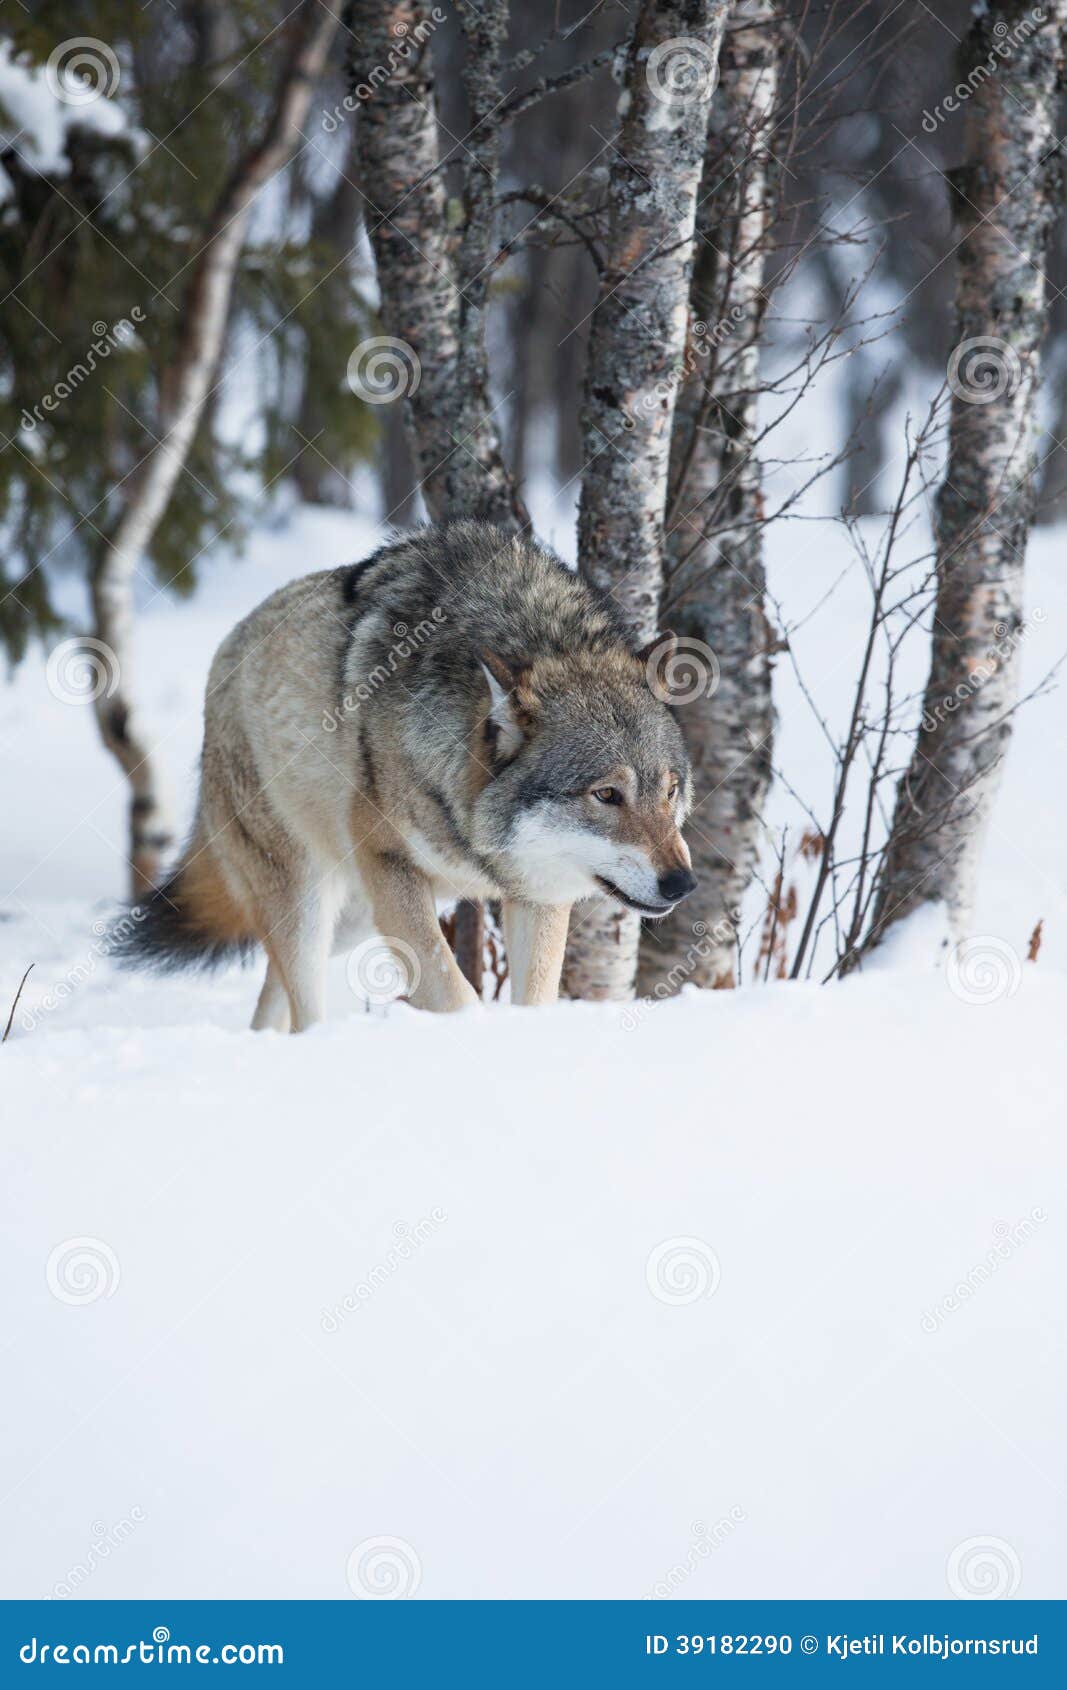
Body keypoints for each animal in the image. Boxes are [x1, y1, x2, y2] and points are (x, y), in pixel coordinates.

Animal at [118, 521, 697, 1027]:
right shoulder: (390, 866)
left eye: (670, 791)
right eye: (607, 794)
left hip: (349, 920)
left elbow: (534, 998)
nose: (683, 884)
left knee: (271, 999)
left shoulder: (539, 894)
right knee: (304, 1006)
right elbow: (456, 994)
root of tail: (226, 651)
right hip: (309, 900)